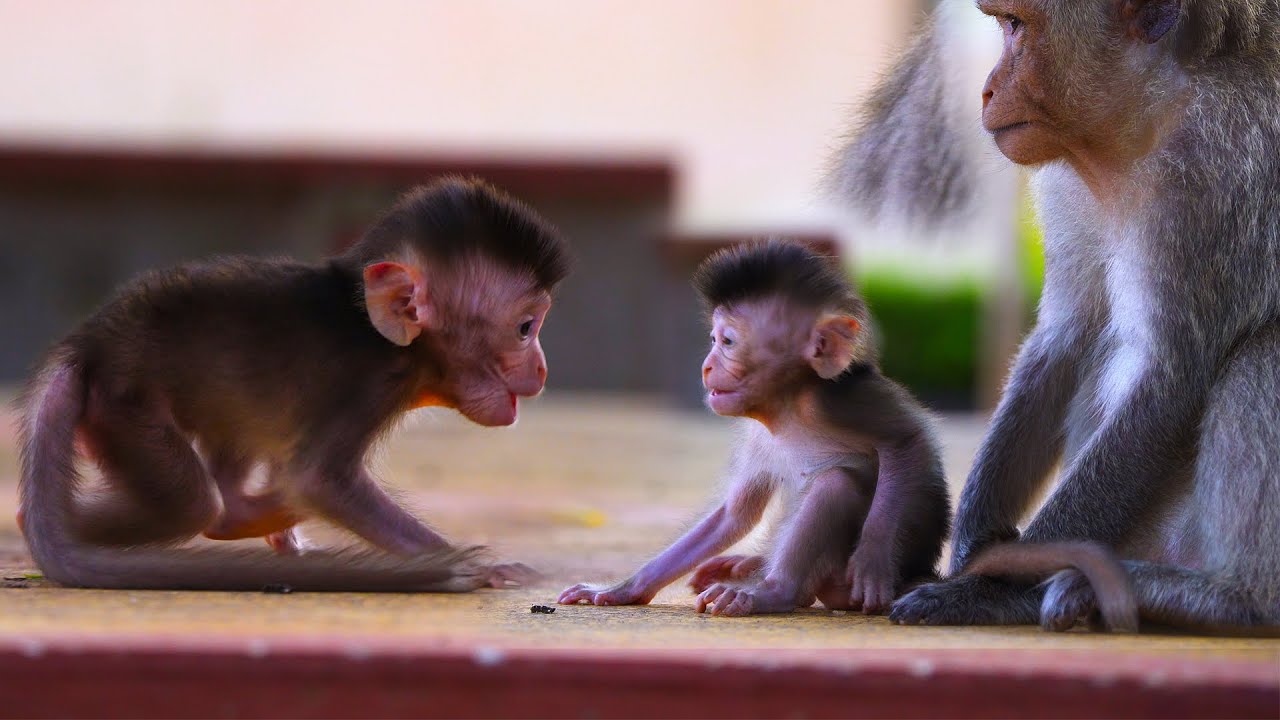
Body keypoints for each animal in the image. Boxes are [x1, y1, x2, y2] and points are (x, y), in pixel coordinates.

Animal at [17, 176, 570, 592]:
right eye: (526, 328)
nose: (543, 367)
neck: (383, 337)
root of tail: (88, 345)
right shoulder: (366, 383)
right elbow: (319, 480)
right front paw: (471, 564)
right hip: (124, 405)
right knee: (193, 503)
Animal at [558, 240, 950, 616]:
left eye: (728, 341)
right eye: (713, 339)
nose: (707, 366)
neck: (787, 408)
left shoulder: (842, 400)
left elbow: (906, 441)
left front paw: (872, 563)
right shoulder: (757, 435)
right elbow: (733, 515)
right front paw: (624, 588)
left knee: (835, 482)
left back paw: (772, 592)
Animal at [829, 0, 1280, 633]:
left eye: (1017, 26)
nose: (988, 89)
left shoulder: (1216, 184)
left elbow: (1168, 377)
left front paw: (990, 589)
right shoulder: (1067, 180)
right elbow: (1065, 337)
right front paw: (975, 550)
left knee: (1261, 352)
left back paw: (1235, 599)